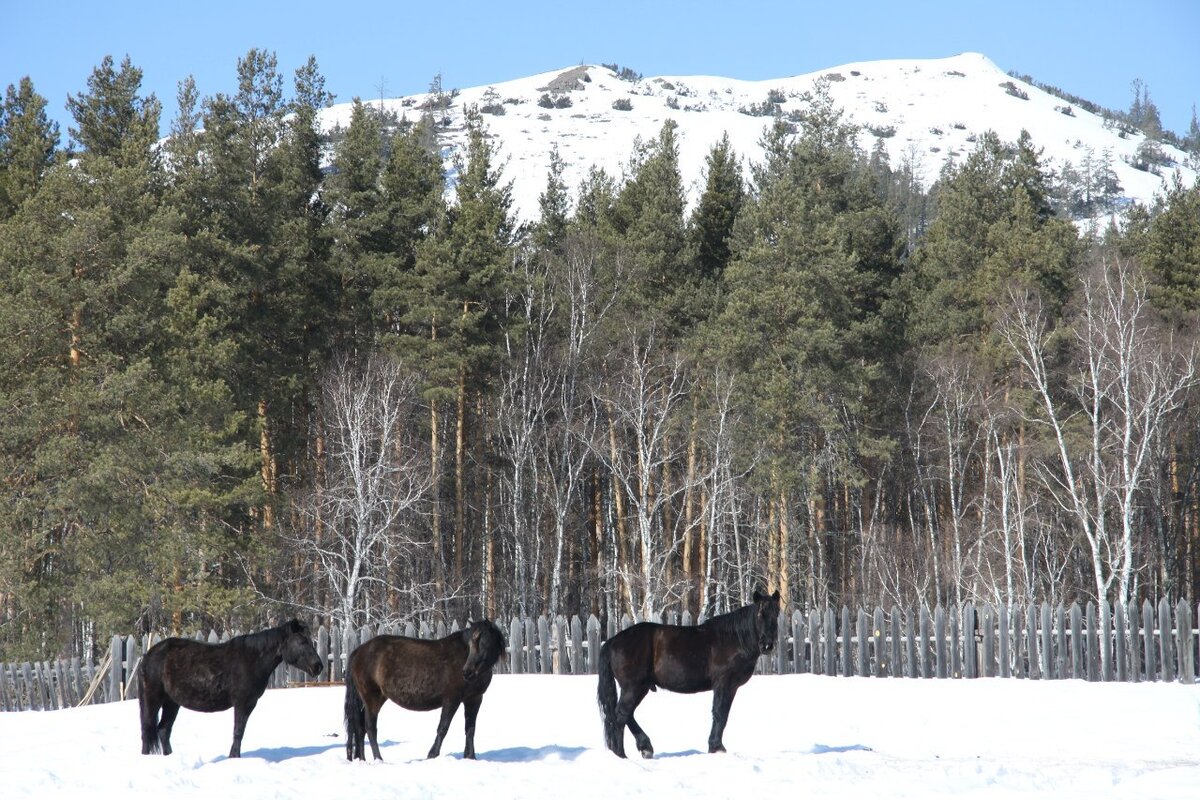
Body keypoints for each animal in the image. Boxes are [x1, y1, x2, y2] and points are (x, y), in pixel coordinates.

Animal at [137, 618, 324, 758]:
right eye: (301, 641)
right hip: (153, 699)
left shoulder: (249, 704)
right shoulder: (242, 703)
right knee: (147, 729)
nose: (318, 667)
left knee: (163, 729)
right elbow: (238, 731)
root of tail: (148, 655)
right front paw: (234, 757)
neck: (252, 660)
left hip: (172, 702)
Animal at [343, 623, 506, 762]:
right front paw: (432, 755)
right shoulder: (451, 699)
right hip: (372, 698)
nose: (467, 672)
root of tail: (359, 651)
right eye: (471, 644)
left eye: (484, 643)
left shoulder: (475, 699)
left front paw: (470, 757)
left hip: (375, 698)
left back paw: (362, 759)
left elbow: (470, 729)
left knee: (360, 728)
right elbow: (443, 727)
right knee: (370, 728)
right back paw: (379, 759)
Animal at [595, 592, 782, 762]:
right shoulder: (723, 683)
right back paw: (622, 756)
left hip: (640, 688)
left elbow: (724, 714)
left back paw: (644, 747)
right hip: (633, 687)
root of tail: (613, 641)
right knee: (621, 715)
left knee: (626, 715)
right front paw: (716, 747)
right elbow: (720, 713)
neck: (733, 639)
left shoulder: (731, 687)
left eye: (776, 614)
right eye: (760, 614)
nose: (767, 645)